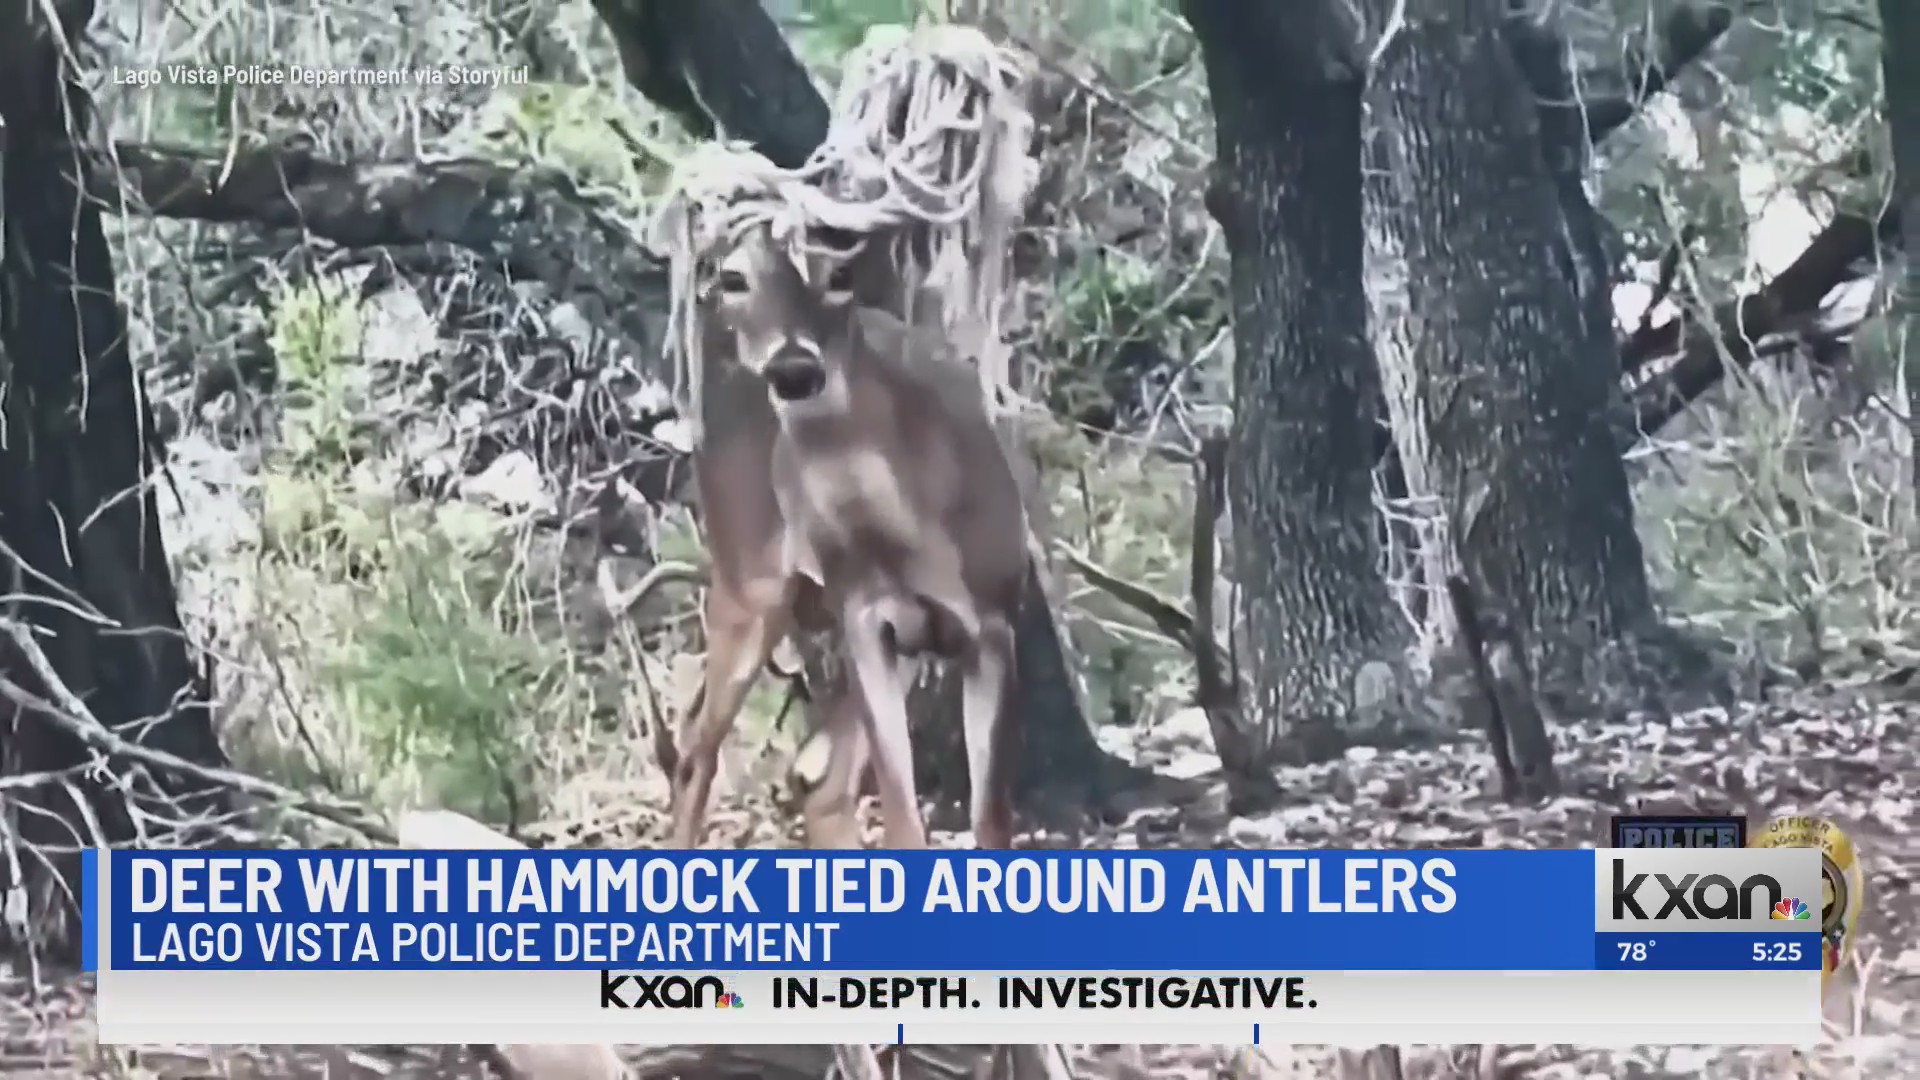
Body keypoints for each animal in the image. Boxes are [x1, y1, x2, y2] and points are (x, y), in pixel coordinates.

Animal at [666, 221, 1029, 852]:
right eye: (735, 277)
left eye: (839, 273)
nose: (793, 366)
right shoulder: (866, 621)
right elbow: (905, 820)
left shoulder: (992, 622)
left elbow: (989, 822)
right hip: (749, 577)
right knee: (698, 749)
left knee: (816, 782)